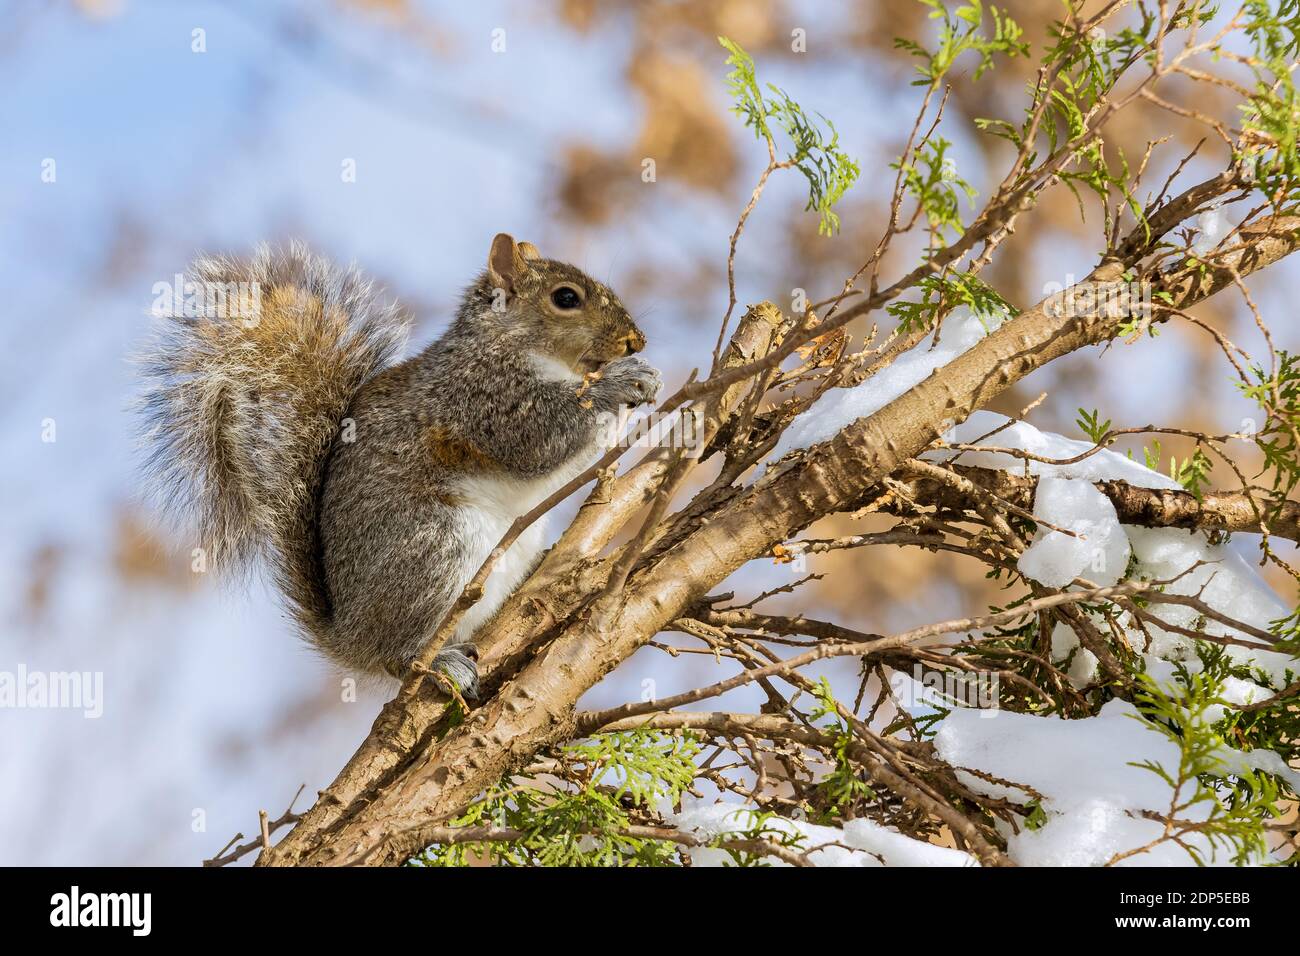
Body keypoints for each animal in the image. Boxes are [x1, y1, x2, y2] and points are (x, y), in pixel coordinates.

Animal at [139, 234, 660, 698]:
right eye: (565, 298)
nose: (636, 341)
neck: (504, 344)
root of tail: (349, 637)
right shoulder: (480, 399)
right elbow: (538, 441)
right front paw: (620, 382)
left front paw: (646, 382)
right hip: (435, 546)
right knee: (397, 654)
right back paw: (435, 661)